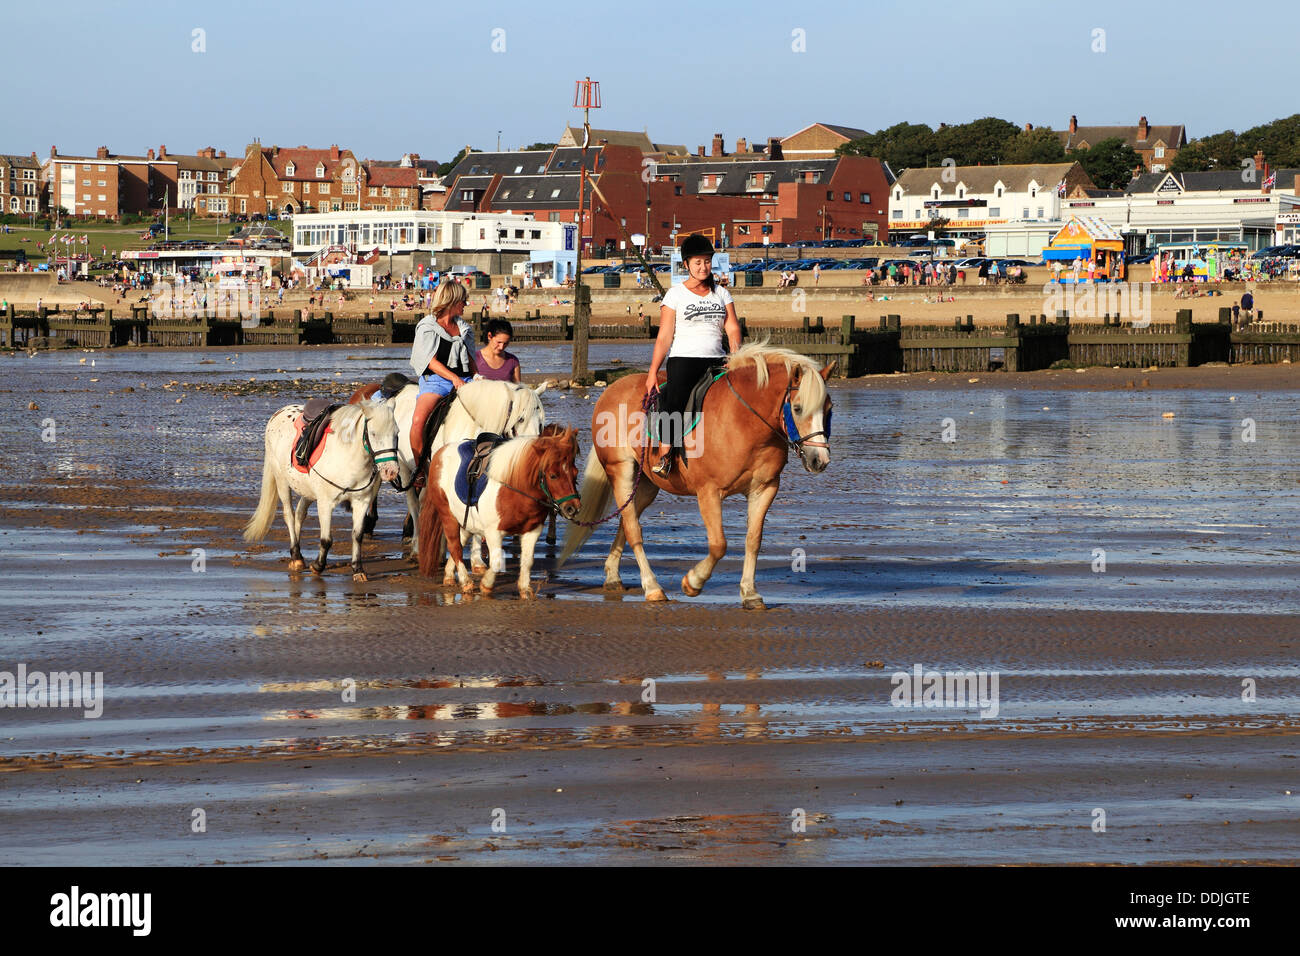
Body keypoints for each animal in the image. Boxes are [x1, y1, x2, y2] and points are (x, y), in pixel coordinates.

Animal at [243, 399, 400, 581]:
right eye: (374, 434)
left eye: (397, 433)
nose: (391, 471)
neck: (347, 457)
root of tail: (277, 414)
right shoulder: (326, 503)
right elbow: (326, 539)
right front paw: (318, 566)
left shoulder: (361, 502)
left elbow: (357, 536)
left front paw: (357, 569)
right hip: (282, 482)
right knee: (289, 515)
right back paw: (296, 556)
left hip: (308, 491)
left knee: (299, 514)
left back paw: (297, 554)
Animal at [347, 377, 548, 560]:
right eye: (520, 419)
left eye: (541, 423)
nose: (530, 454)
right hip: (404, 470)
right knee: (414, 505)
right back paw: (415, 544)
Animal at [418, 426, 582, 598]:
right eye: (553, 475)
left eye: (575, 473)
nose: (572, 508)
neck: (515, 487)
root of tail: (439, 453)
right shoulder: (493, 532)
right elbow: (496, 562)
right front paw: (486, 585)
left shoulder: (532, 531)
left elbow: (527, 561)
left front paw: (525, 589)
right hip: (447, 516)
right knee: (455, 546)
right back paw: (466, 582)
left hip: (464, 519)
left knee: (460, 541)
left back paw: (449, 576)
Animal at [558, 342, 833, 609]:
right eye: (797, 408)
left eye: (829, 409)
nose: (819, 460)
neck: (743, 420)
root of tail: (612, 390)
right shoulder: (709, 492)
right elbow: (719, 544)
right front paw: (693, 582)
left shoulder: (764, 489)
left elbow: (753, 541)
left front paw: (750, 593)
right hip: (622, 471)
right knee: (633, 528)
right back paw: (652, 587)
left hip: (646, 485)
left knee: (627, 521)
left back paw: (613, 576)